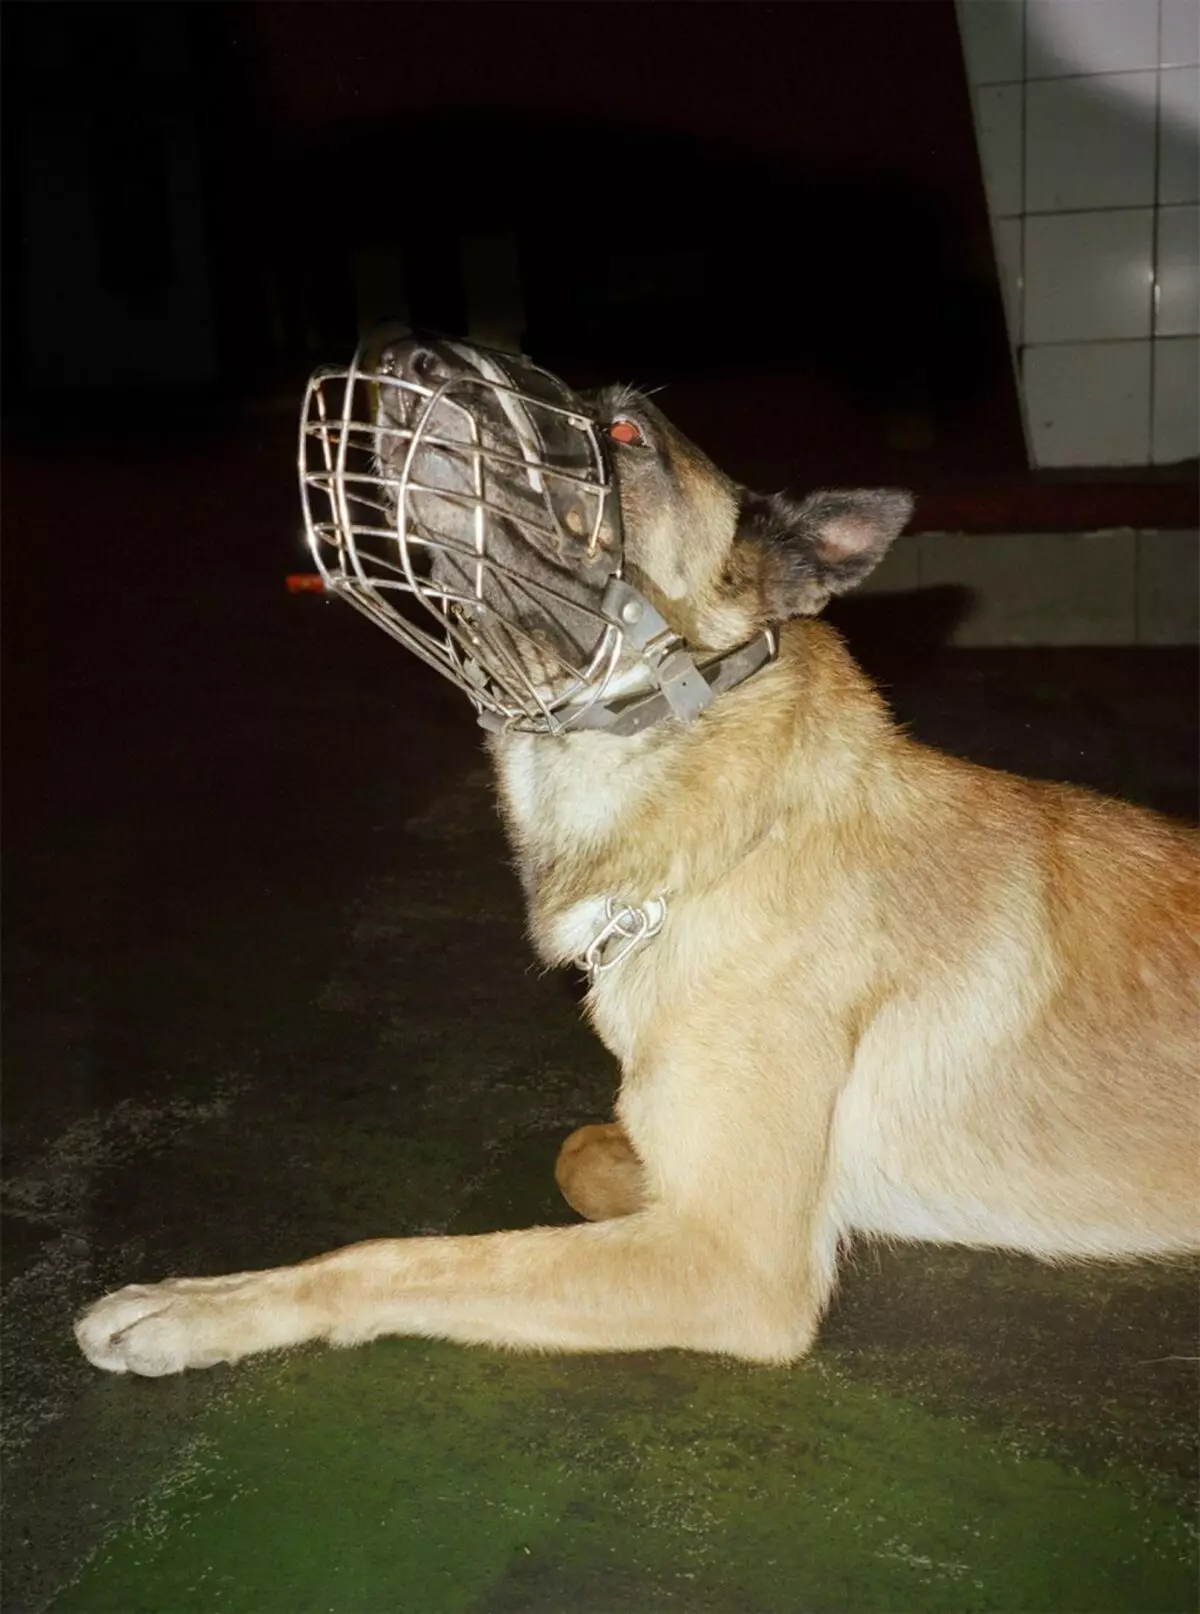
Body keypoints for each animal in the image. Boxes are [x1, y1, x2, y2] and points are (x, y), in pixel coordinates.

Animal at [77, 337, 1200, 1375]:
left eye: (624, 433)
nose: (402, 354)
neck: (737, 837)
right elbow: (582, 1151)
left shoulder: (733, 1265)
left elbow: (405, 1255)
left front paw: (199, 1307)